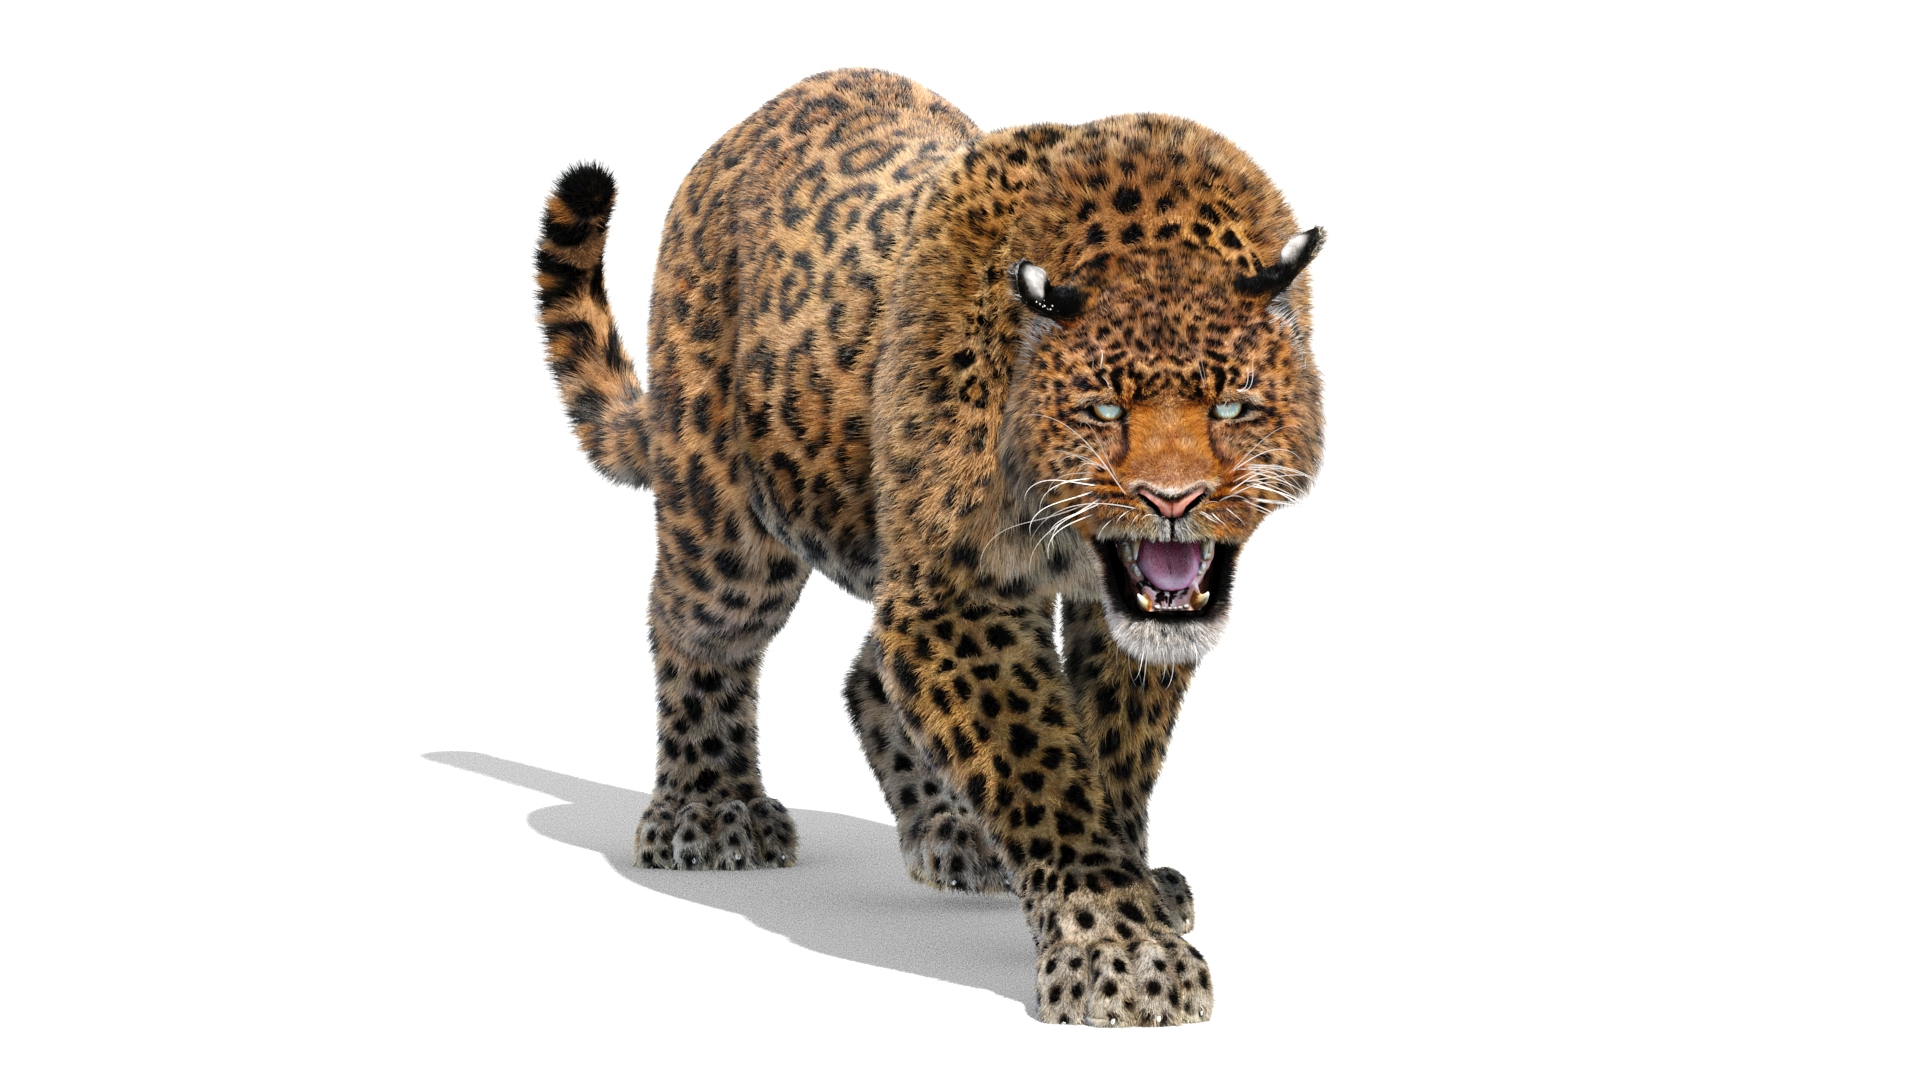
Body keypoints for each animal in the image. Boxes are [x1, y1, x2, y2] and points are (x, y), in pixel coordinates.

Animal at [533, 68, 1324, 1026]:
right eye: (1102, 409)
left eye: (1233, 406)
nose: (1173, 503)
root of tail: (742, 132)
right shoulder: (955, 590)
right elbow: (1038, 763)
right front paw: (1119, 950)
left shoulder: (1115, 614)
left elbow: (1112, 747)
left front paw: (1129, 889)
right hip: (727, 525)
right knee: (694, 629)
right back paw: (709, 811)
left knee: (869, 674)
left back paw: (955, 834)